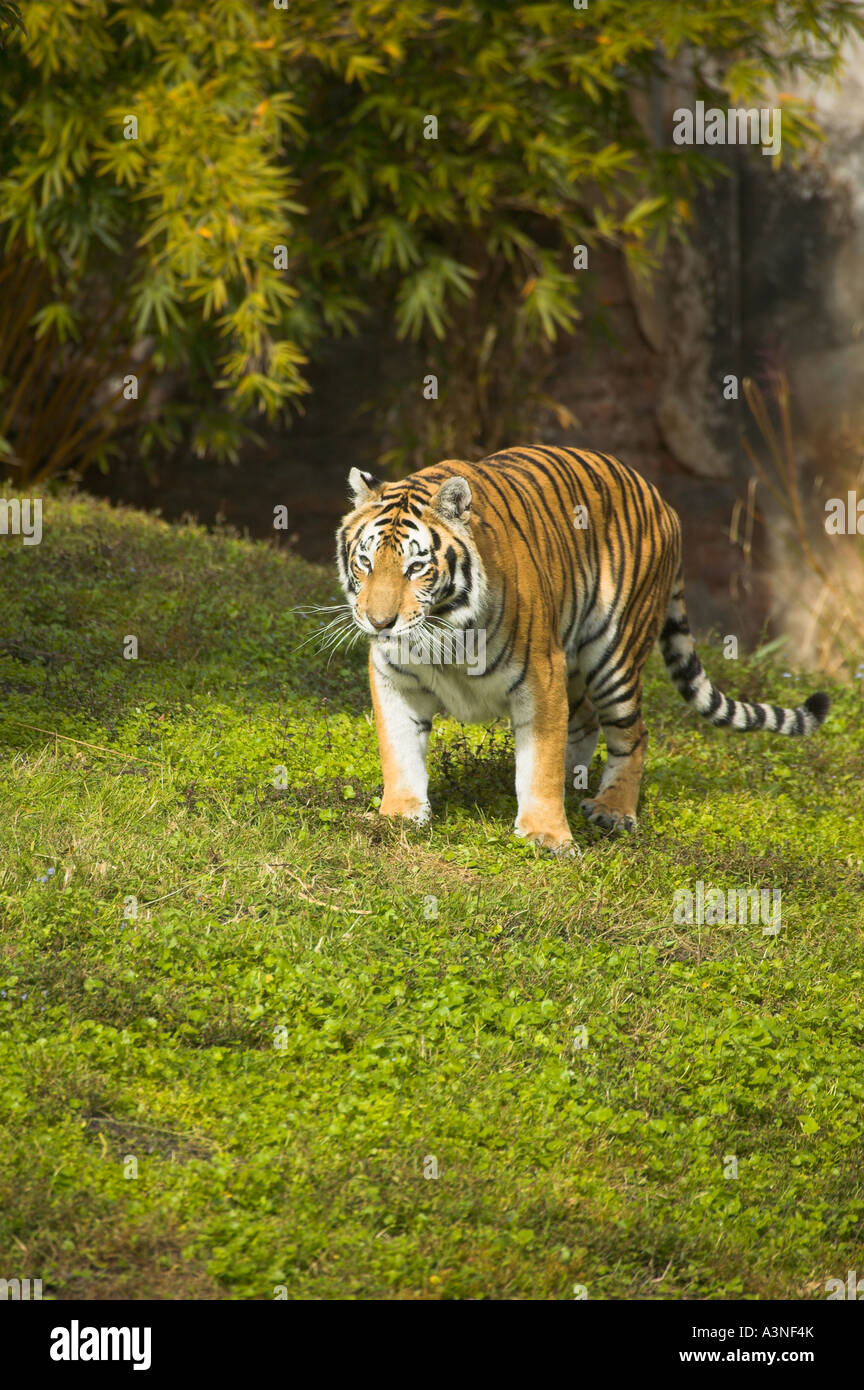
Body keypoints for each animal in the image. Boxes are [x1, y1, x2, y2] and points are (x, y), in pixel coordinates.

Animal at [335, 446, 829, 853]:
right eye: (365, 562)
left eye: (416, 567)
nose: (379, 622)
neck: (442, 632)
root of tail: (663, 501)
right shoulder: (395, 679)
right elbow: (399, 750)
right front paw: (399, 815)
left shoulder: (539, 674)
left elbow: (541, 760)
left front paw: (547, 836)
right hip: (572, 664)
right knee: (584, 722)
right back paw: (572, 783)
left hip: (613, 657)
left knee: (634, 733)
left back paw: (613, 810)